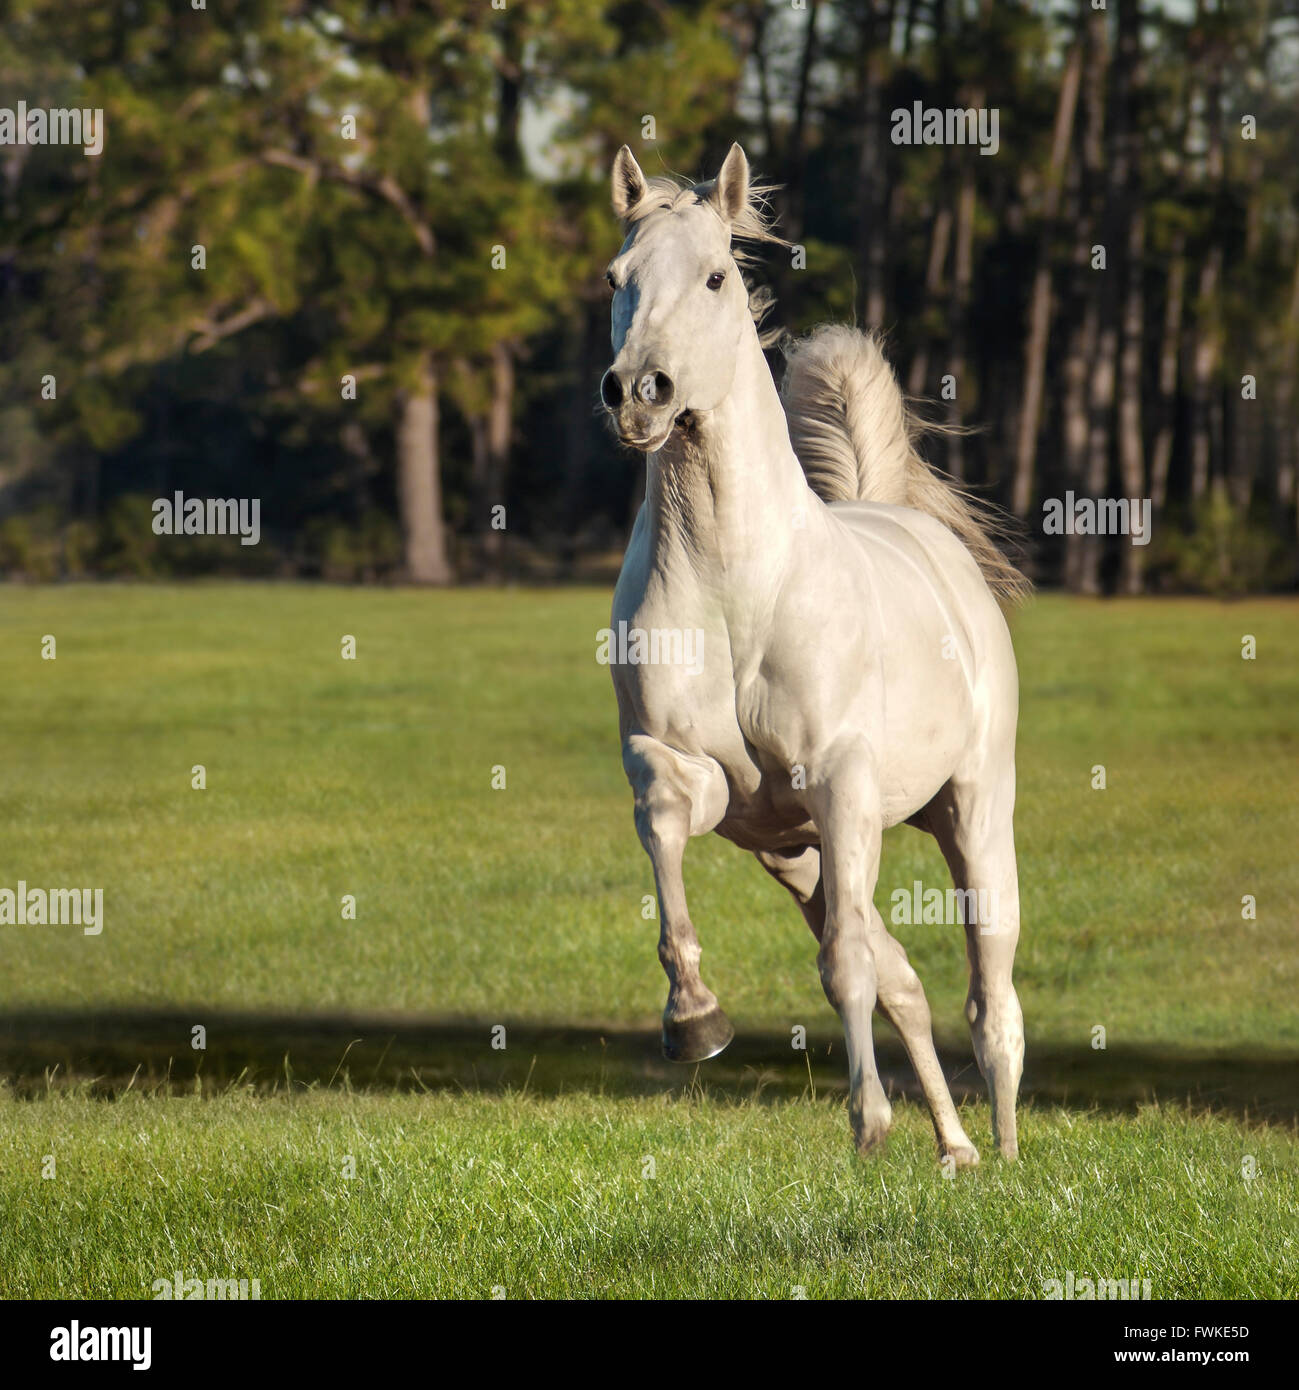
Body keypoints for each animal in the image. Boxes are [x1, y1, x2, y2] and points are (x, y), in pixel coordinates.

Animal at [601, 142, 1029, 1166]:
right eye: (615, 279)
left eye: (715, 277)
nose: (638, 393)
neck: (735, 588)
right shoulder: (701, 783)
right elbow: (671, 831)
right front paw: (694, 1021)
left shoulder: (840, 787)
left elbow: (844, 967)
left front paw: (866, 1120)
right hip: (800, 856)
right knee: (906, 977)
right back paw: (954, 1150)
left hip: (971, 809)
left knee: (989, 991)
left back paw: (1003, 1154)